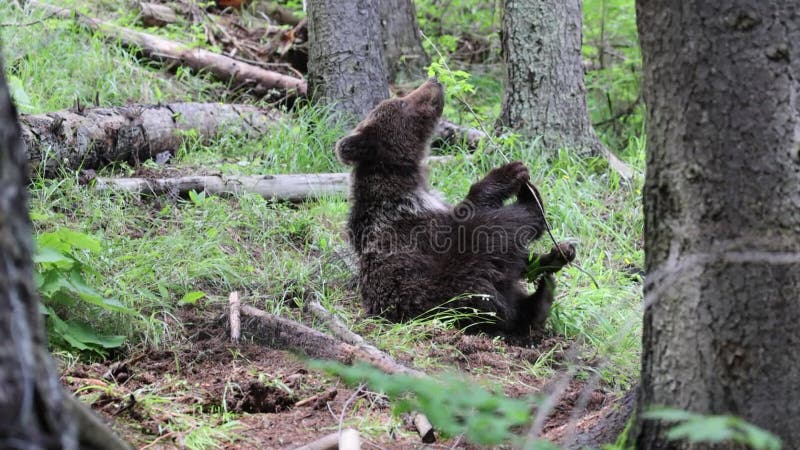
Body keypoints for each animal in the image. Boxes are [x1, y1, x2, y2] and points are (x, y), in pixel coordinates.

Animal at [336, 78, 575, 337]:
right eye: (402, 102)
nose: (434, 81)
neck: (407, 177)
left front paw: (552, 254)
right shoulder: (414, 218)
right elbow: (468, 213)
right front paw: (509, 172)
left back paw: (555, 263)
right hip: (452, 283)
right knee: (497, 229)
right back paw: (530, 202)